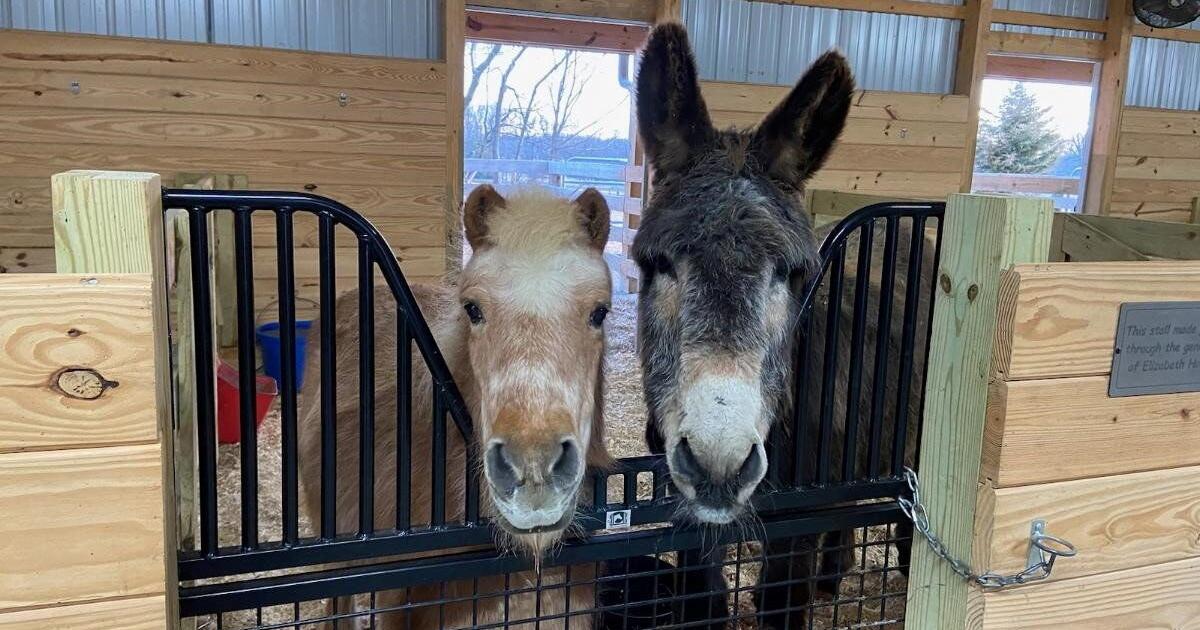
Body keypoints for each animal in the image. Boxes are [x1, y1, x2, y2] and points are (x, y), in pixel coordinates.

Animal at [631, 23, 930, 627]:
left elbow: (778, 601)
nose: (719, 461)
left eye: (791, 273)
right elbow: (702, 594)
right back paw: (834, 576)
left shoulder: (797, 515)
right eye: (657, 264)